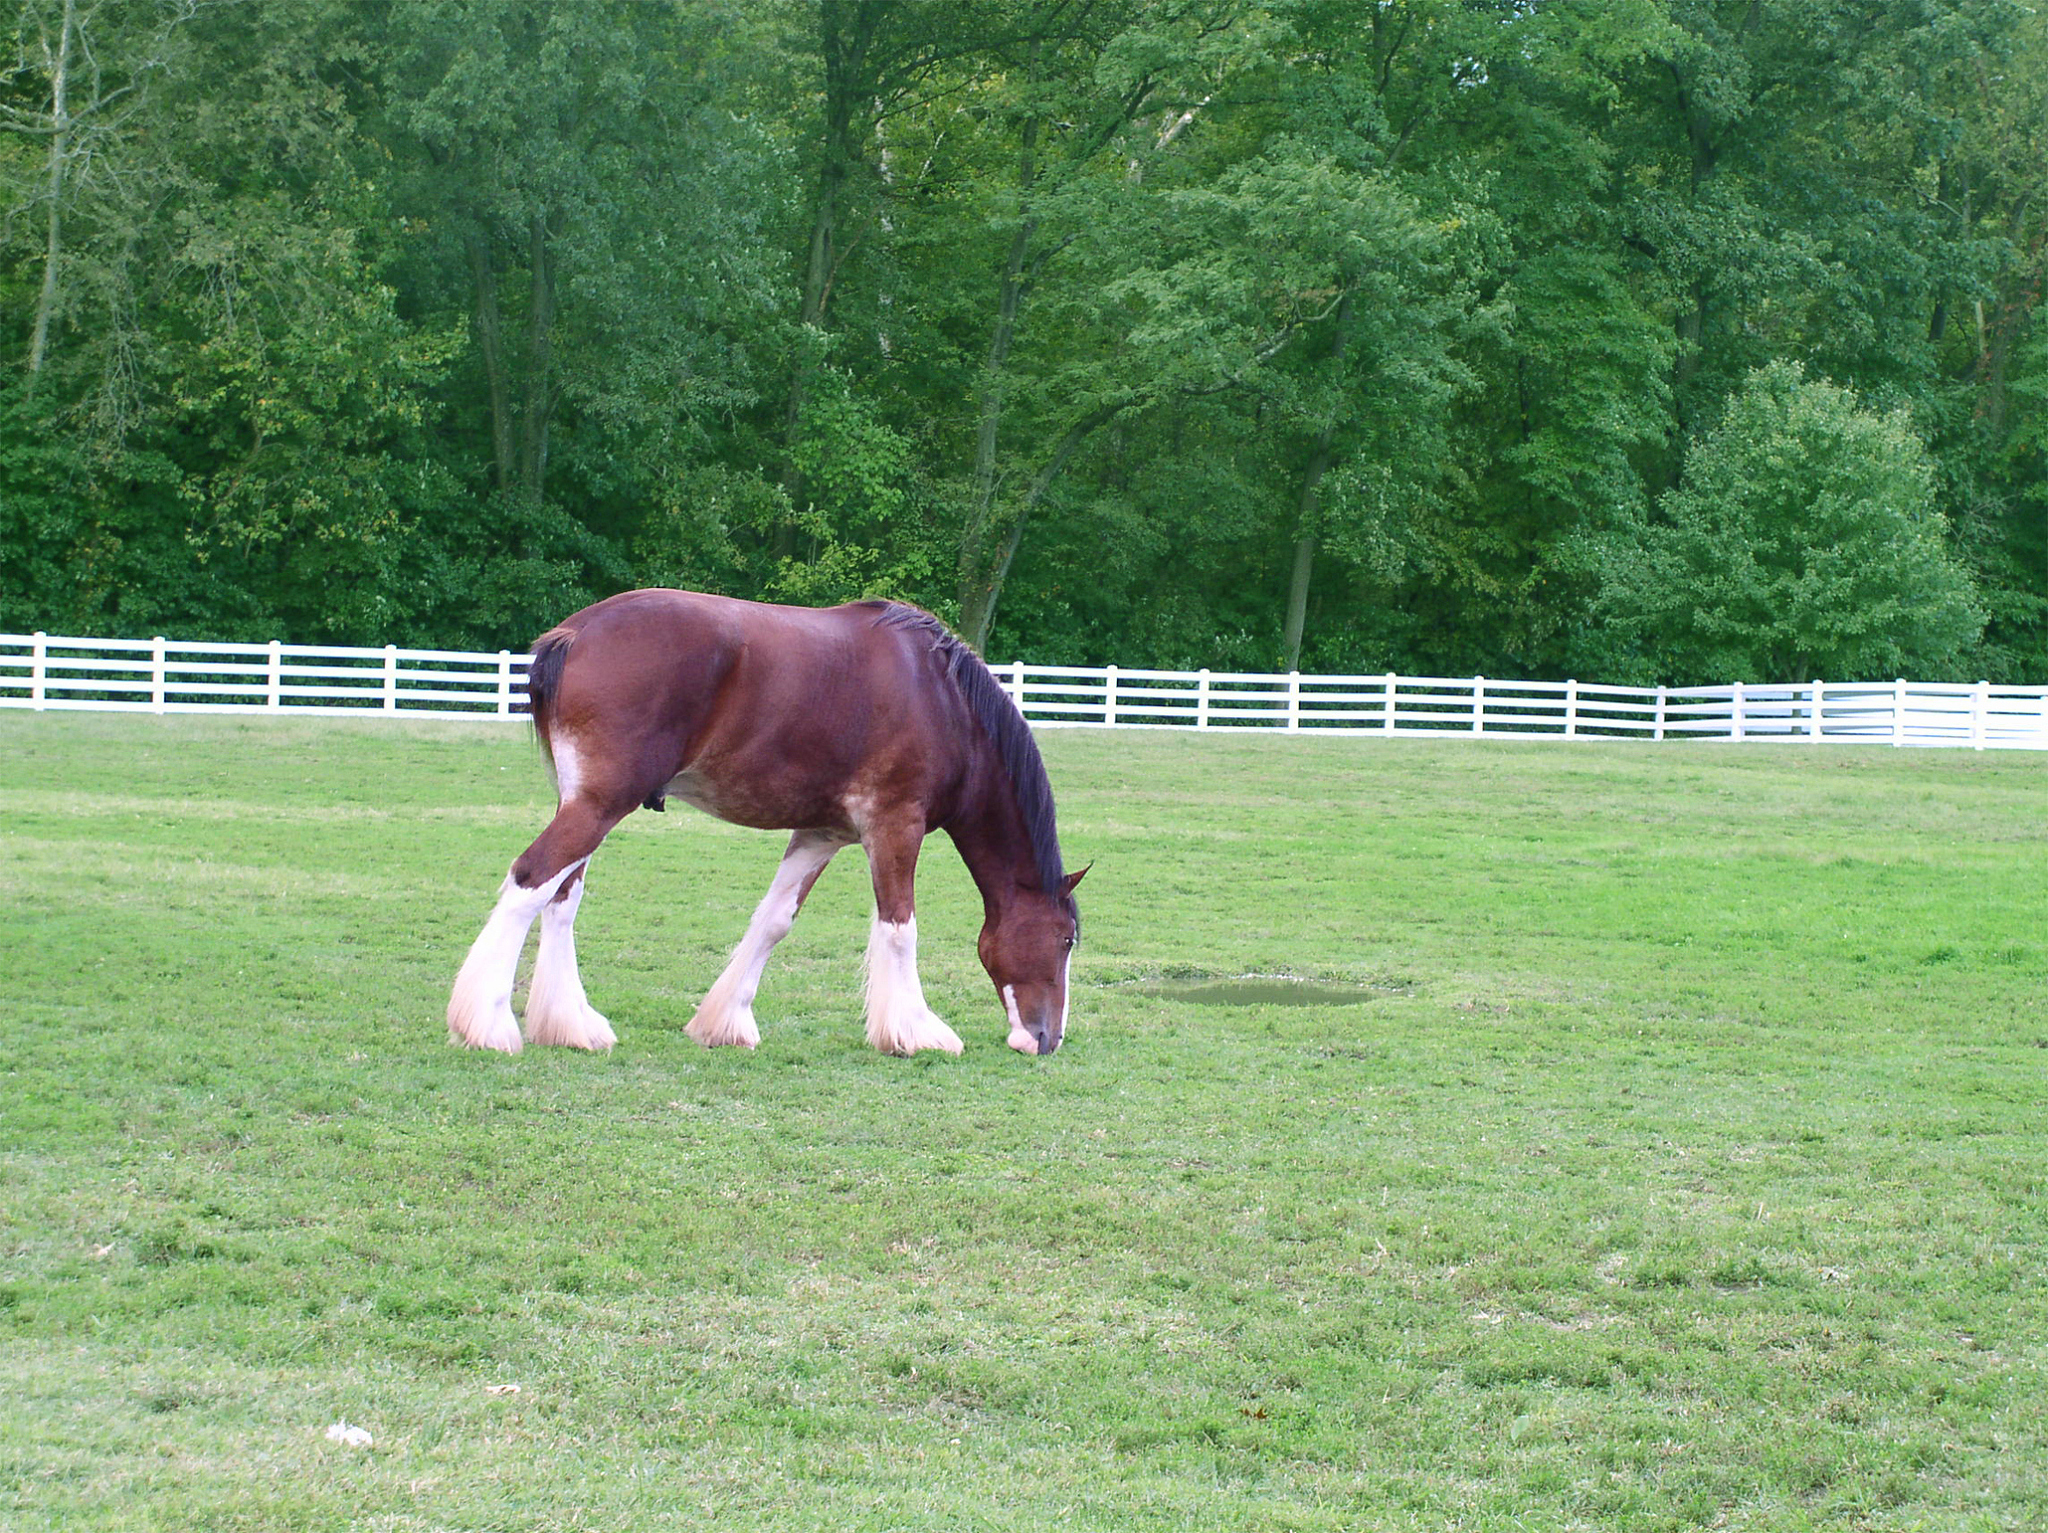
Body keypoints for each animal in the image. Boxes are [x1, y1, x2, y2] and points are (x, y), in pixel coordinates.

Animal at [446, 590, 1085, 1059]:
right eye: (1065, 939)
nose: (1047, 1038)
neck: (942, 701)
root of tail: (574, 635)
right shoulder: (894, 825)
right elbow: (900, 927)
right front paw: (915, 1032)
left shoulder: (823, 834)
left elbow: (774, 921)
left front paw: (725, 1022)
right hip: (599, 805)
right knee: (531, 881)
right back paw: (490, 1025)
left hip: (583, 804)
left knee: (562, 898)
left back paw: (571, 1025)